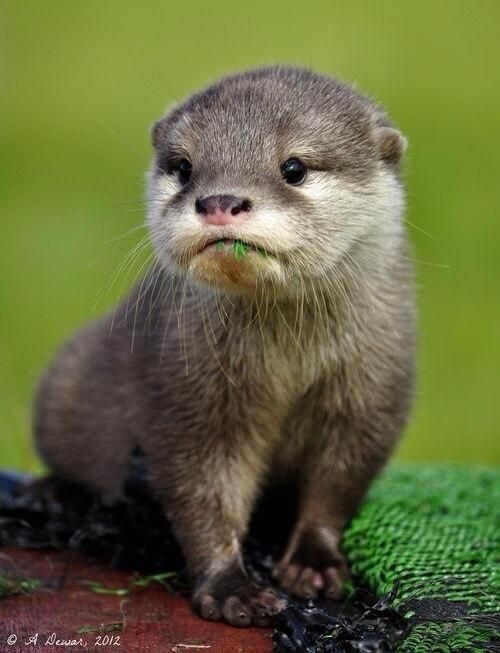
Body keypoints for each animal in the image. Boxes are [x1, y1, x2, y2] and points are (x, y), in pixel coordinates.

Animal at [34, 66, 416, 627]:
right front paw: (231, 587)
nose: (219, 202)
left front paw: (314, 564)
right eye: (184, 167)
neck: (288, 367)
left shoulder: (371, 398)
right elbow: (203, 492)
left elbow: (337, 487)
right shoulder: (187, 395)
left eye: (294, 167)